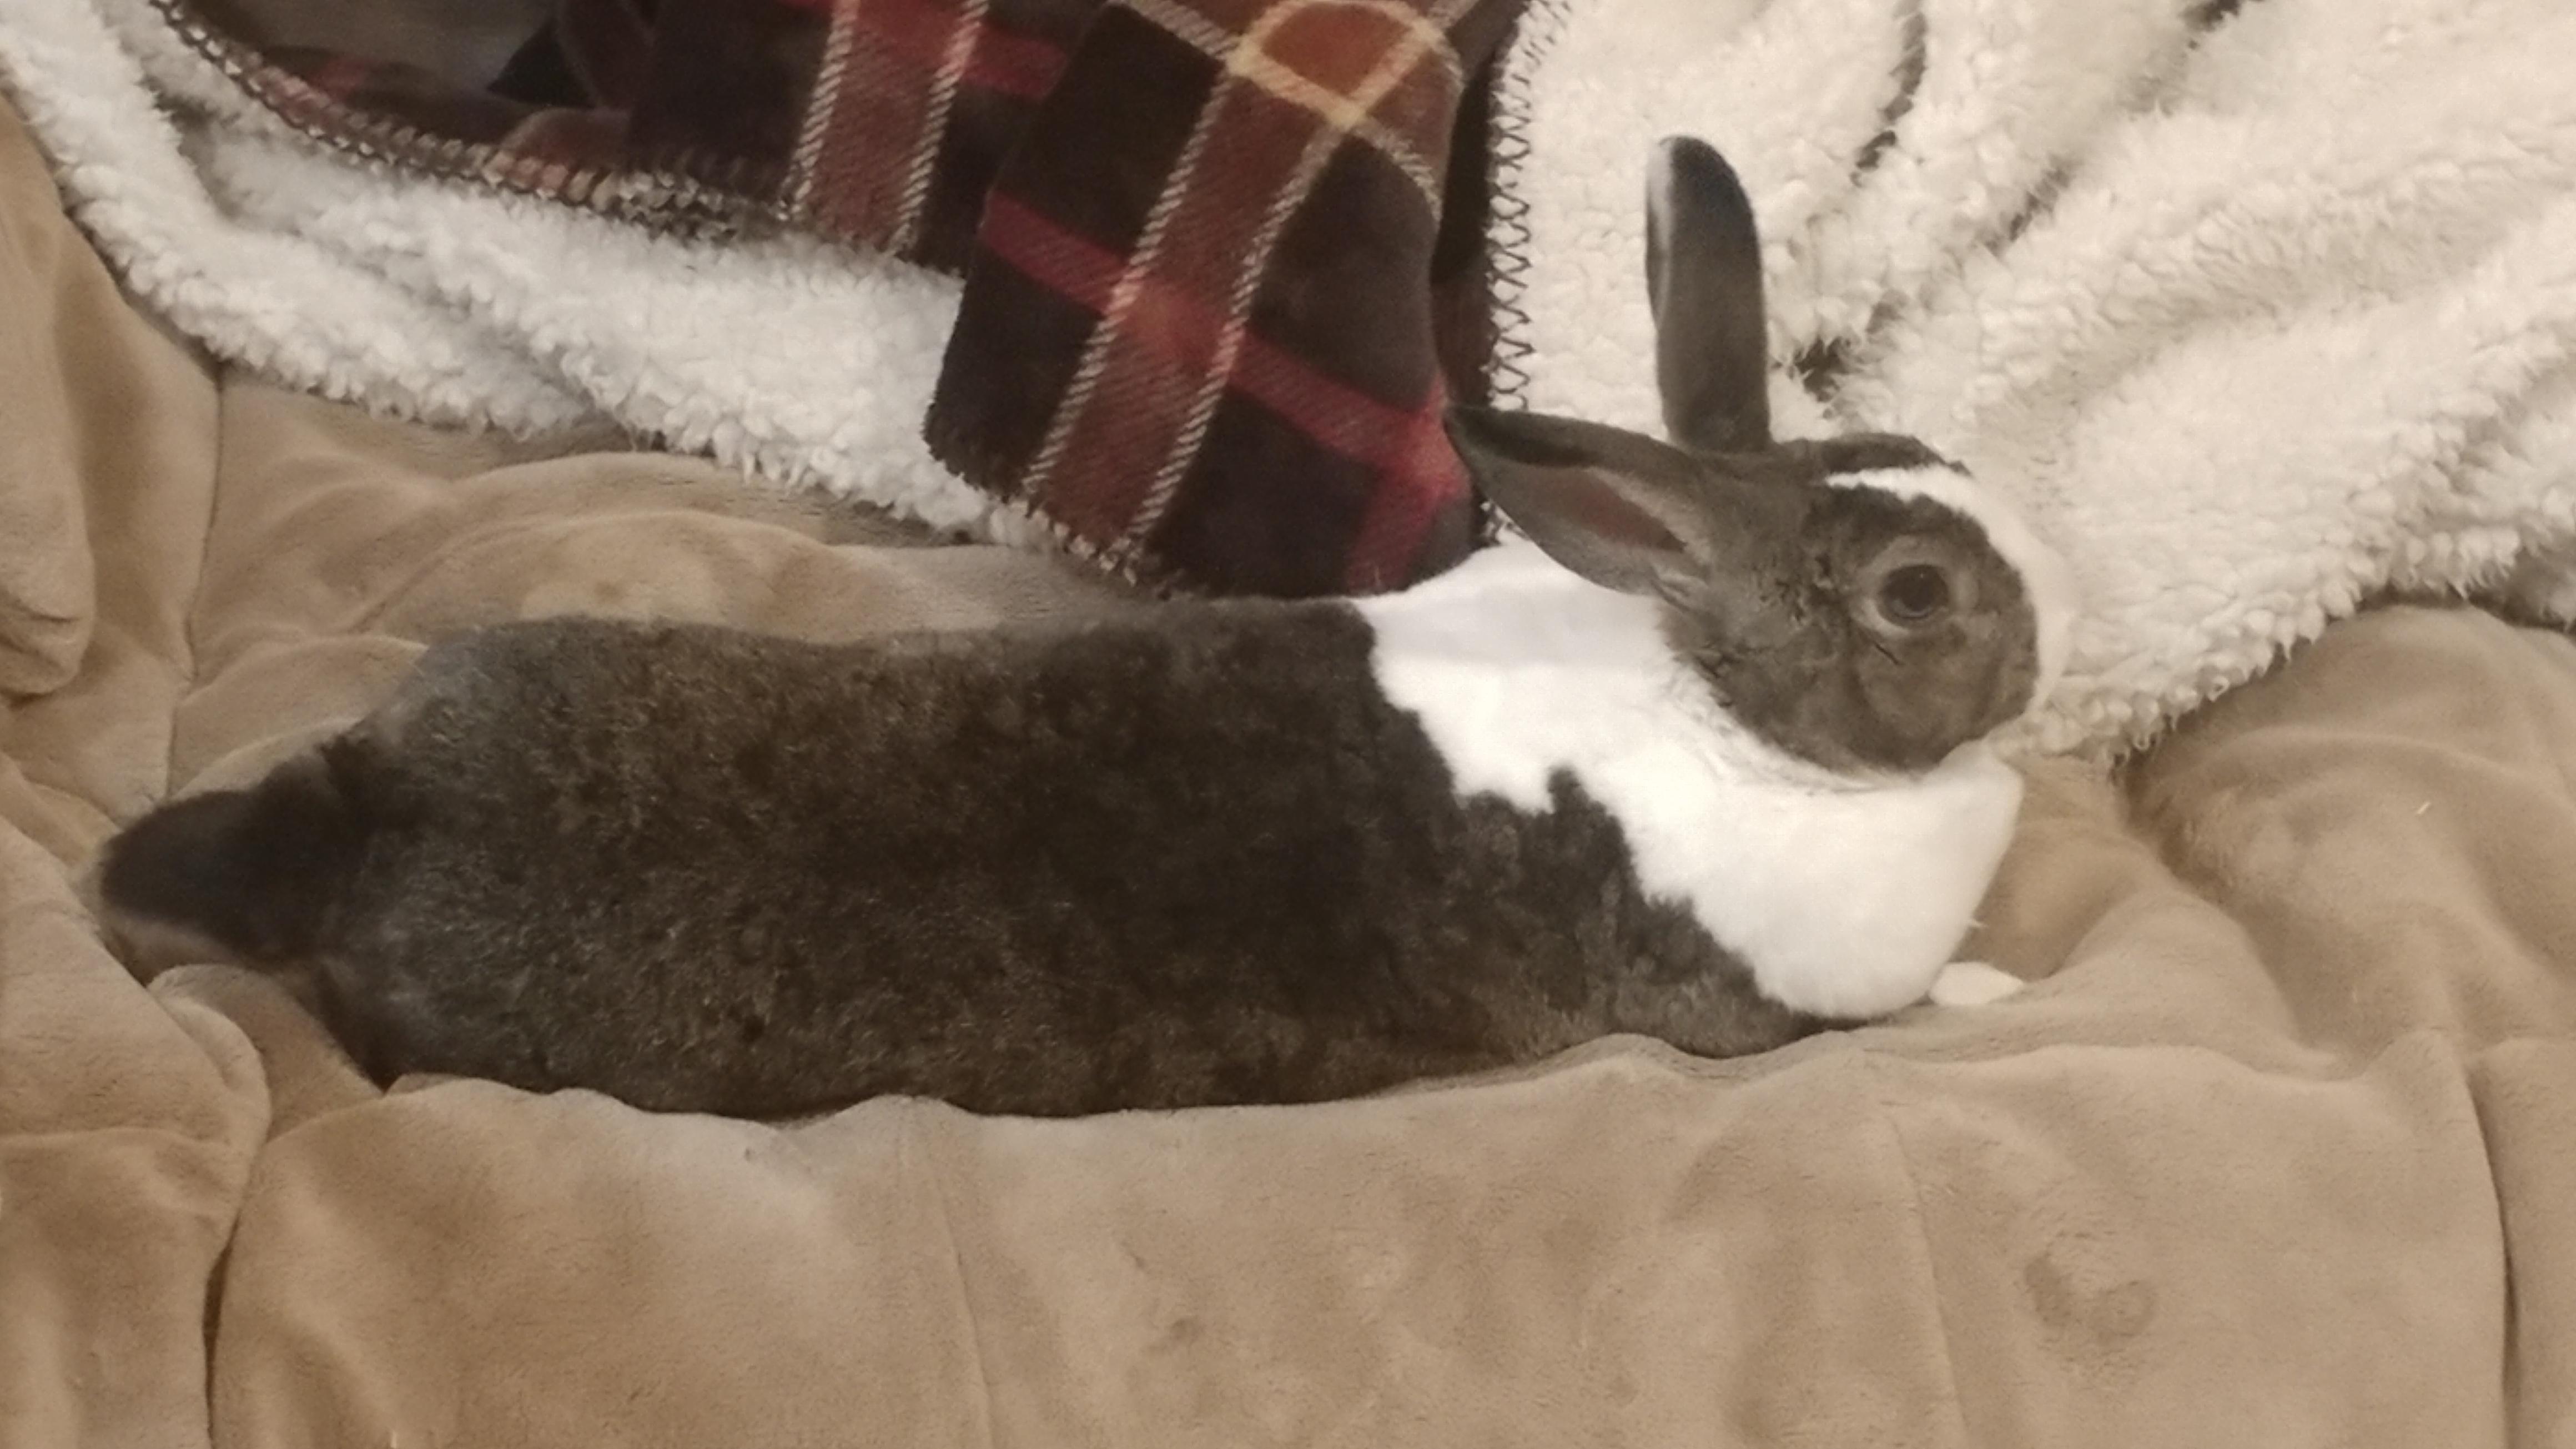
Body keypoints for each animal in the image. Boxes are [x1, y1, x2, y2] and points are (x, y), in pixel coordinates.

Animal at [91, 137, 2075, 1120]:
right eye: (1915, 597)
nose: (2053, 641)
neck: (1714, 691)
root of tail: (354, 828)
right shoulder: (1768, 1001)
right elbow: (1897, 1007)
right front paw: (2001, 989)